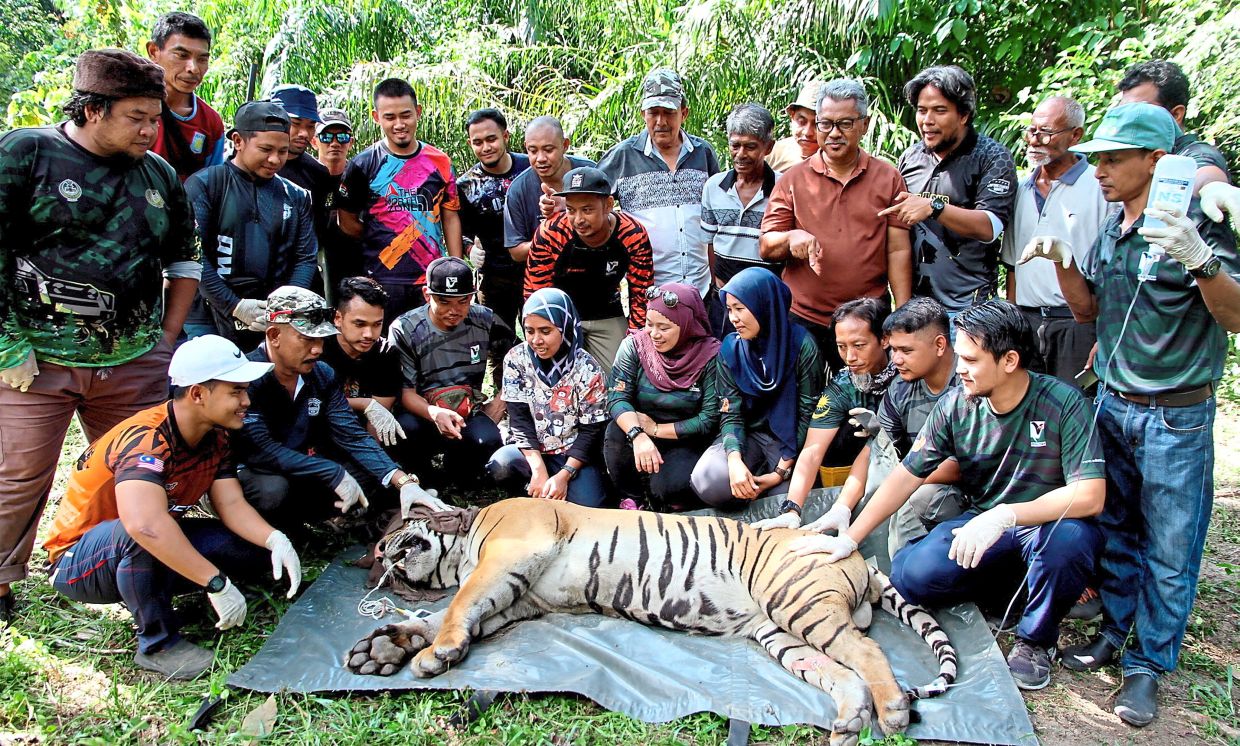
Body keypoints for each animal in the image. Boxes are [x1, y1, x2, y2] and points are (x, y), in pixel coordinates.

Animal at [346, 498, 957, 746]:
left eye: (394, 532)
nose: (377, 557)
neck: (463, 545)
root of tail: (856, 554)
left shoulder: (511, 553)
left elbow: (456, 606)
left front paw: (432, 654)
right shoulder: (519, 598)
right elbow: (451, 615)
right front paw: (382, 649)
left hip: (797, 601)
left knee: (869, 652)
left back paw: (893, 711)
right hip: (782, 631)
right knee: (844, 671)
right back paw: (850, 722)